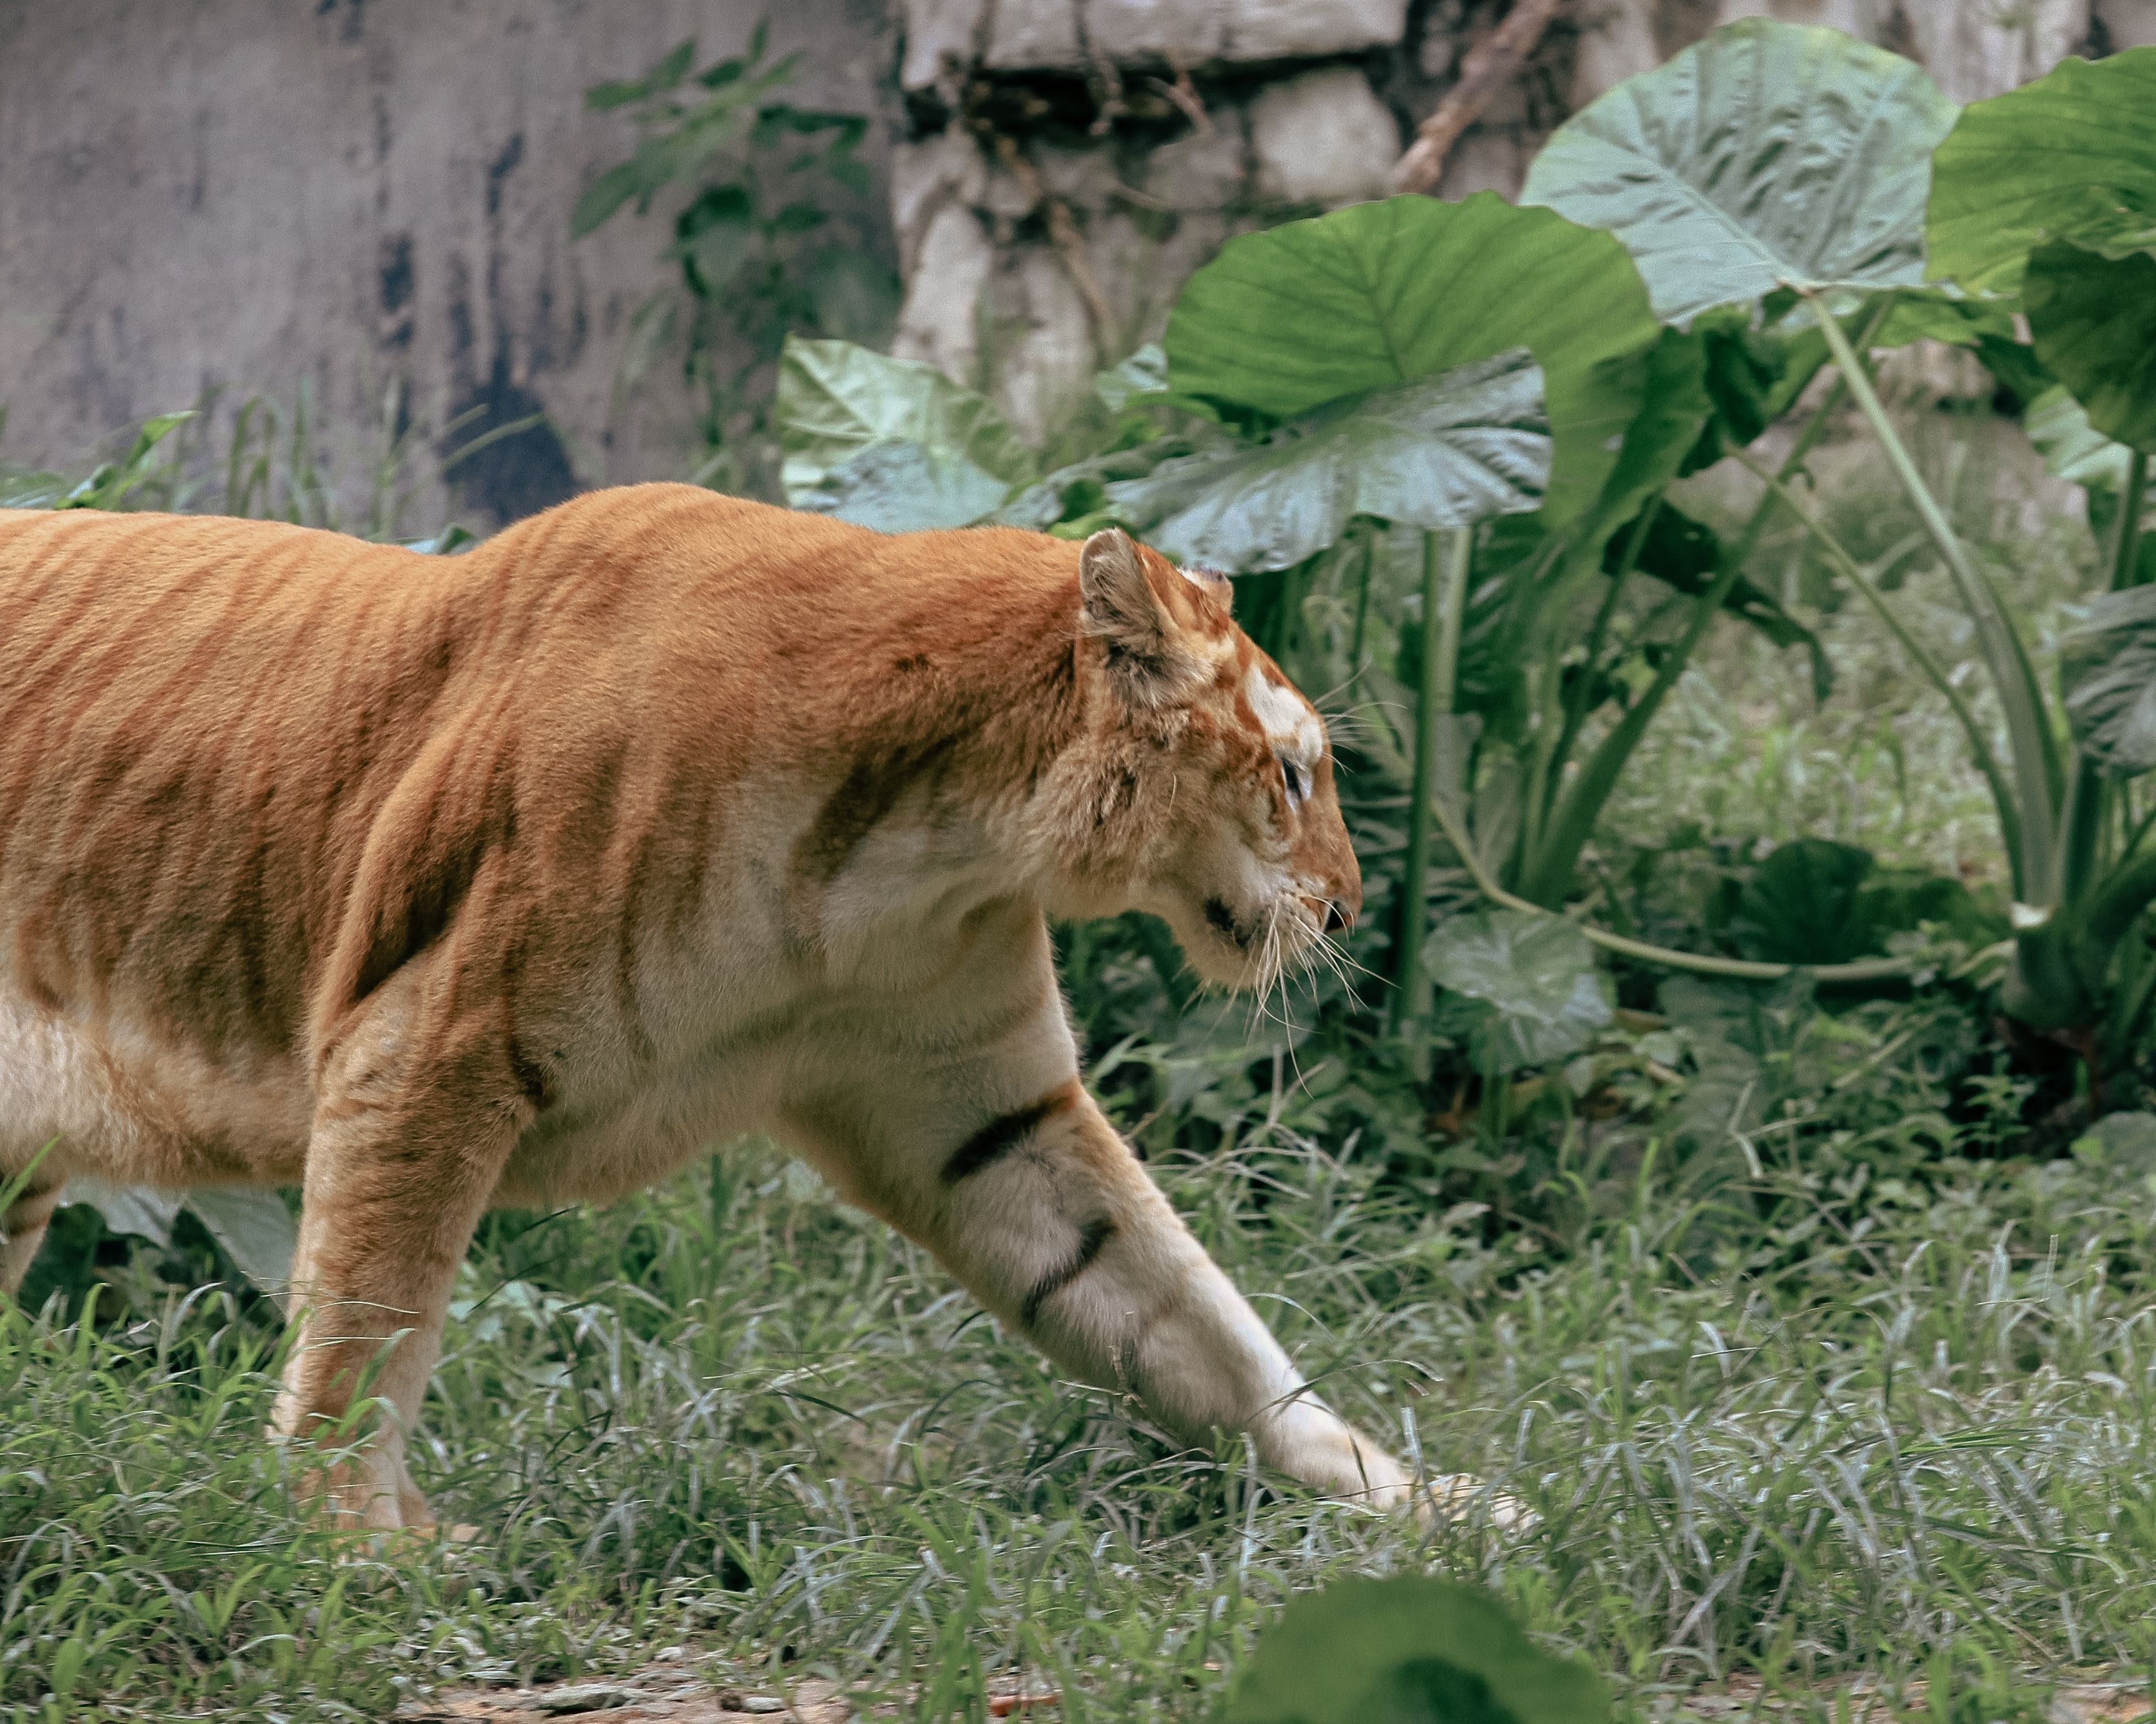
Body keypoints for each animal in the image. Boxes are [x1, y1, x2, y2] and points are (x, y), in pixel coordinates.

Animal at [0, 483, 1470, 1531]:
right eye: (1293, 773)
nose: (1349, 911)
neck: (937, 842)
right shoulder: (428, 1044)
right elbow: (373, 1314)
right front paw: (345, 1532)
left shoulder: (980, 1102)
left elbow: (1185, 1308)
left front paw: (1419, 1502)